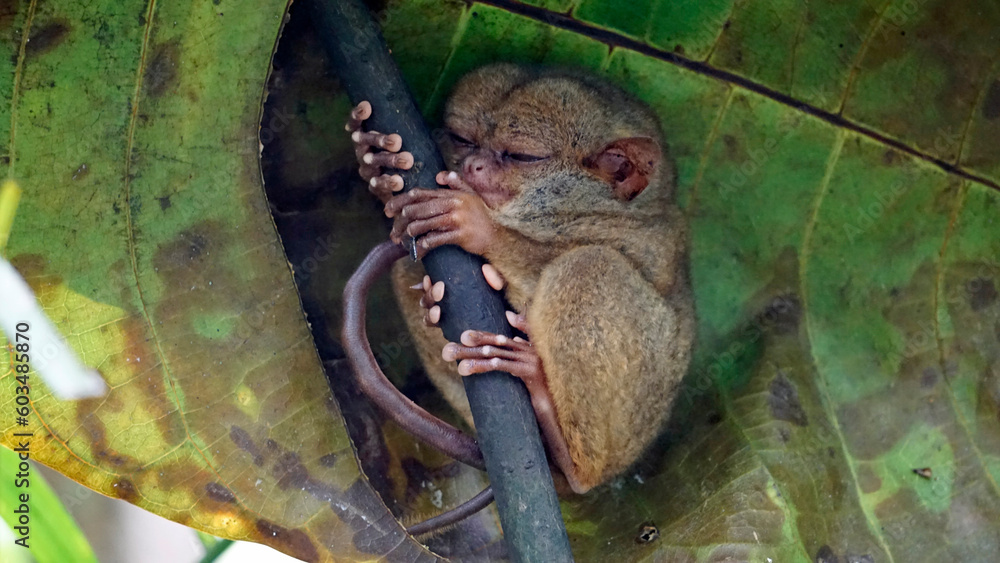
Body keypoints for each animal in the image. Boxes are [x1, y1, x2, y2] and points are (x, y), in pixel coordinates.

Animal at [345, 63, 695, 495]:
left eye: (523, 156)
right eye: (462, 138)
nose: (472, 166)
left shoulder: (647, 240)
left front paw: (479, 226)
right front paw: (375, 159)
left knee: (587, 266)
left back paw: (566, 449)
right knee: (405, 265)